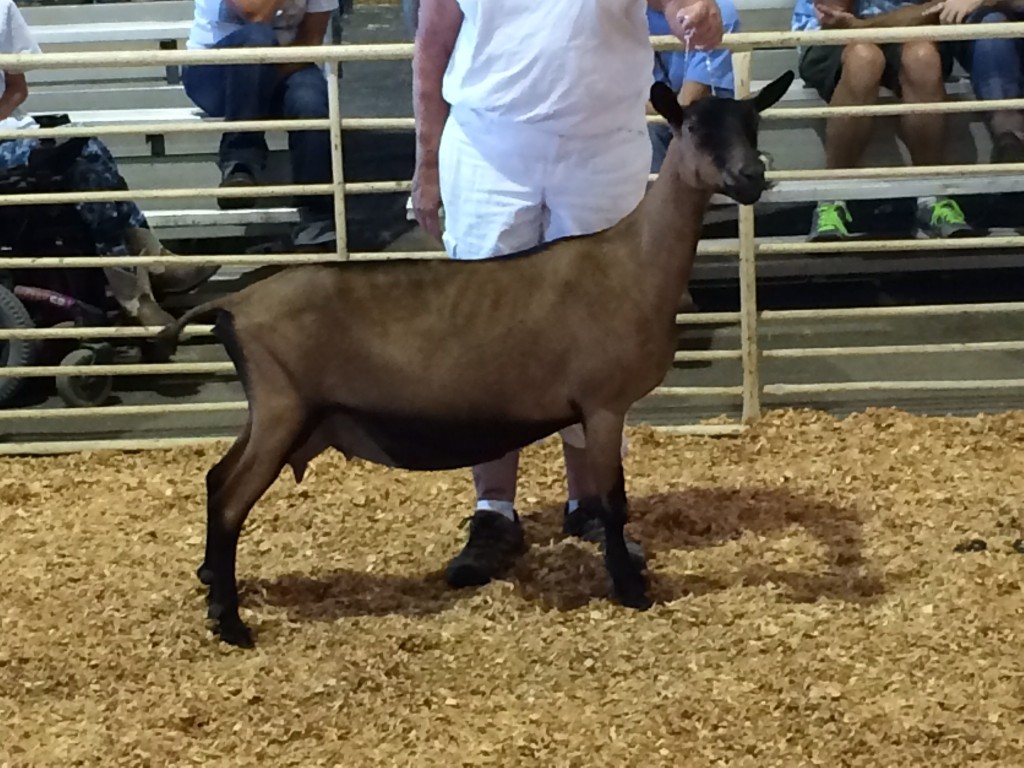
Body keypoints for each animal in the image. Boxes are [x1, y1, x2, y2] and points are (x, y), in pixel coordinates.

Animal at [160, 71, 795, 647]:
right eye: (693, 128)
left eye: (753, 122)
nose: (752, 176)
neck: (631, 262)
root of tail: (233, 304)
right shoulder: (604, 403)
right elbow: (614, 503)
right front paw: (631, 589)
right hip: (283, 408)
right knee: (230, 497)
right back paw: (230, 622)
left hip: (274, 411)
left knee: (216, 479)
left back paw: (210, 580)